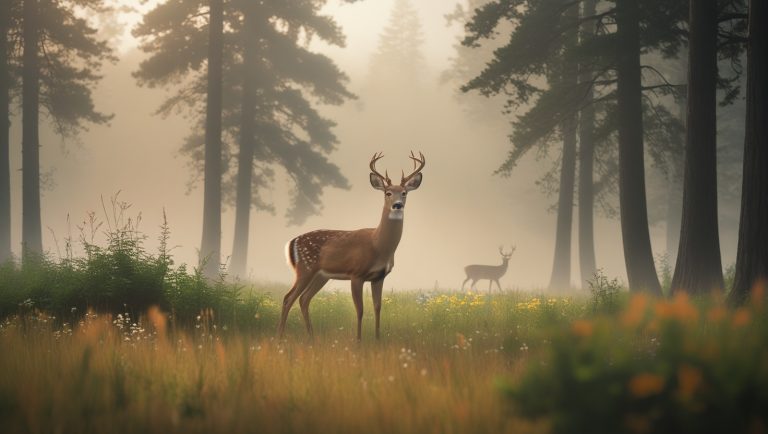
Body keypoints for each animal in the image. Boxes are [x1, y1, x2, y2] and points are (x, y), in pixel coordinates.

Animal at [278, 151, 425, 341]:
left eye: (404, 193)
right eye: (388, 193)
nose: (397, 205)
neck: (379, 246)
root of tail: (292, 242)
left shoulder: (379, 277)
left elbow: (378, 308)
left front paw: (377, 339)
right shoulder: (356, 274)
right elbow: (360, 310)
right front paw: (358, 340)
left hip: (321, 275)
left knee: (304, 299)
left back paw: (312, 337)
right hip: (305, 268)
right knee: (288, 298)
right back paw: (280, 337)